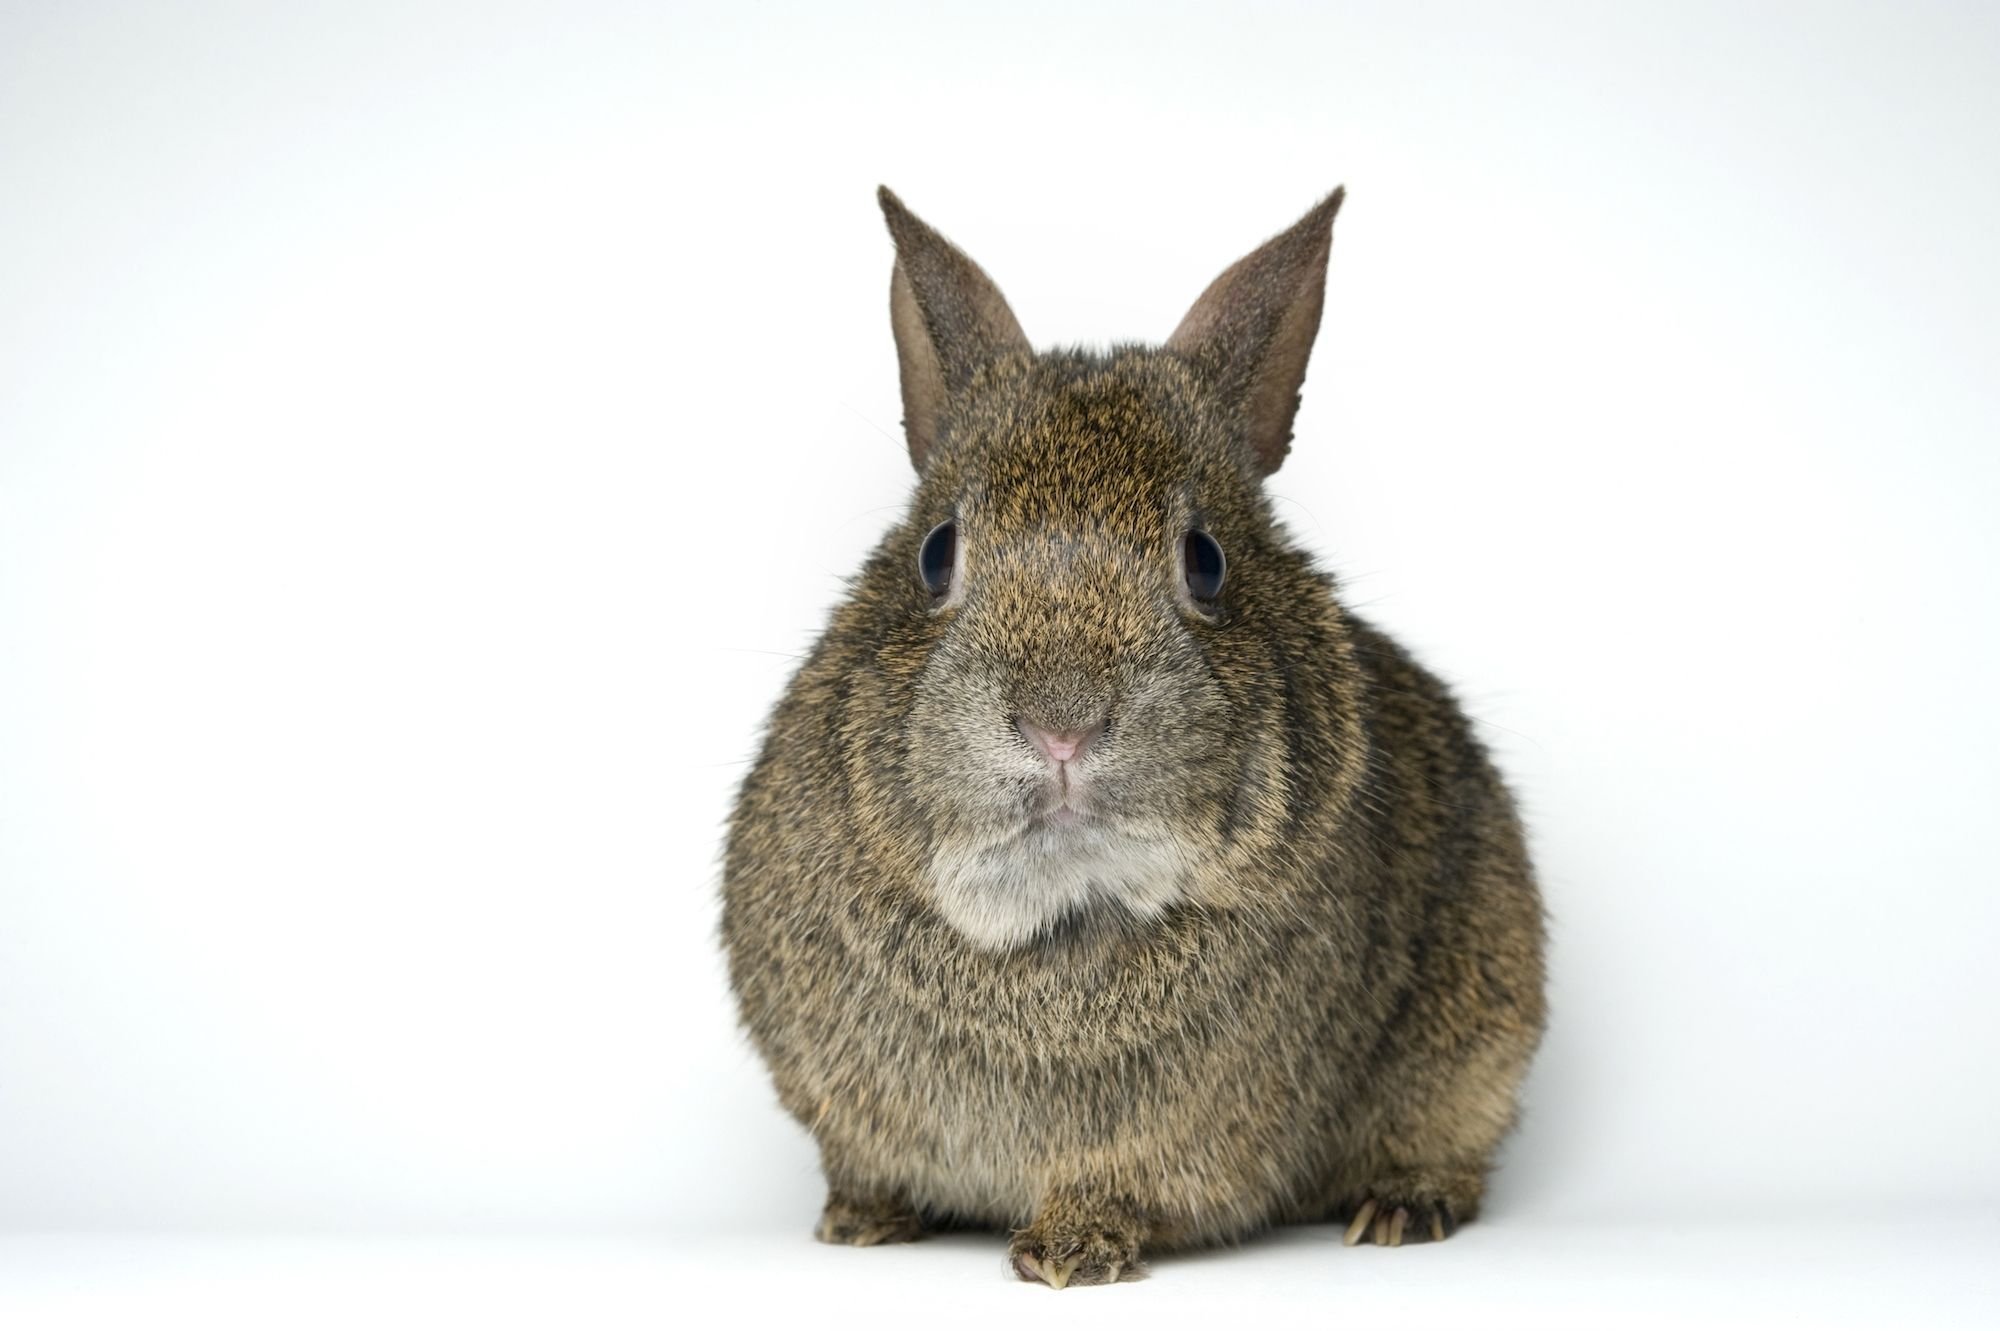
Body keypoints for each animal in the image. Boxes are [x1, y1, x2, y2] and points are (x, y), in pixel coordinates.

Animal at [720, 184, 1547, 1287]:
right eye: (937, 554)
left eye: (1204, 560)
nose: (1061, 724)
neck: (1057, 914)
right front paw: (858, 1219)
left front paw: (1069, 1249)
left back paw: (1401, 1207)